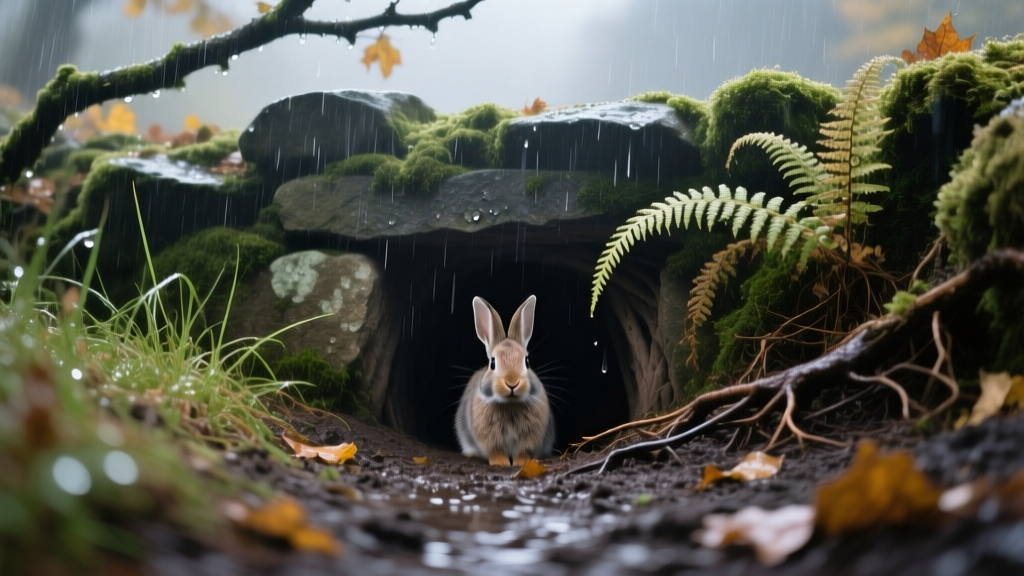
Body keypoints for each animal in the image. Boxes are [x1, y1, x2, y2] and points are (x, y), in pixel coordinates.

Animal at [455, 295, 555, 466]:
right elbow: (495, 451)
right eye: (492, 363)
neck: (510, 404)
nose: (512, 383)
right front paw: (500, 463)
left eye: (527, 361)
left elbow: (523, 451)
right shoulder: (490, 440)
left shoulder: (528, 439)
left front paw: (520, 463)